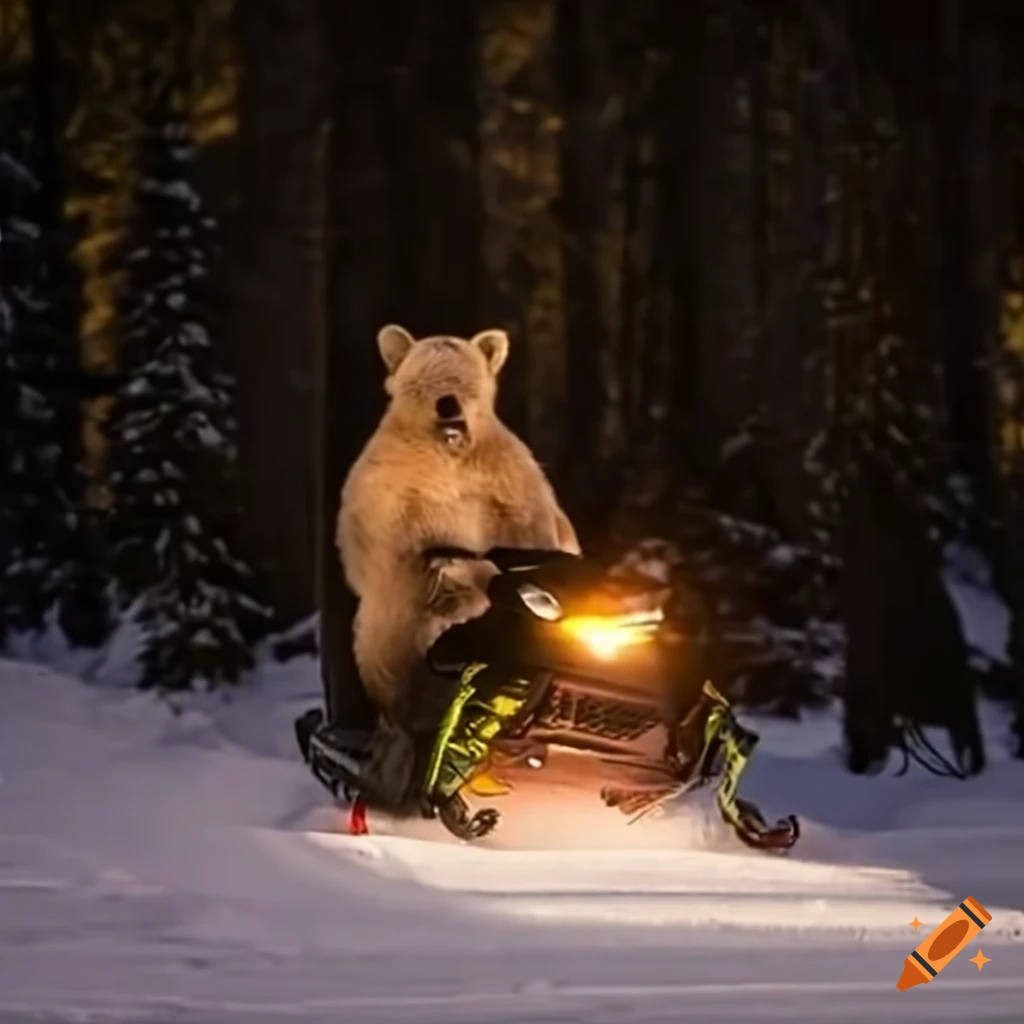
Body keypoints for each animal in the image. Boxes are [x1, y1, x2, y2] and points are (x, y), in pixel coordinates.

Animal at [335, 324, 579, 810]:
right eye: (425, 381)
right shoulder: (390, 487)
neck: (447, 453)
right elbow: (378, 540)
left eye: (464, 382)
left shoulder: (504, 478)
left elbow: (535, 526)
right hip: (387, 638)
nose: (448, 405)